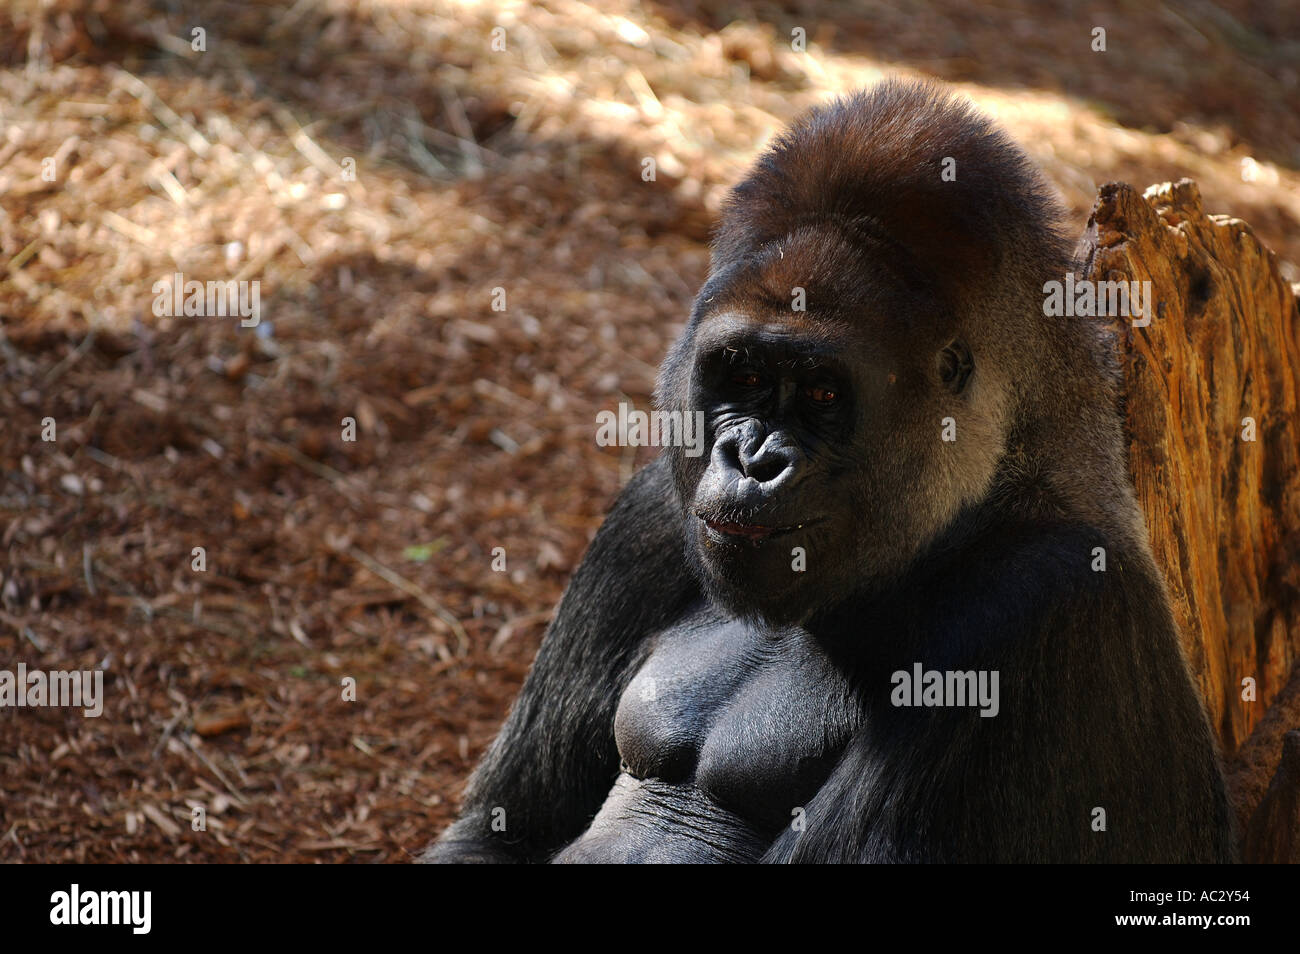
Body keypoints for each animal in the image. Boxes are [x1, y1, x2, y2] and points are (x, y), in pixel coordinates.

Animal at [423, 78, 1237, 863]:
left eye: (822, 392)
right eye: (744, 375)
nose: (754, 461)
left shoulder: (1043, 598)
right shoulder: (649, 515)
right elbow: (497, 832)